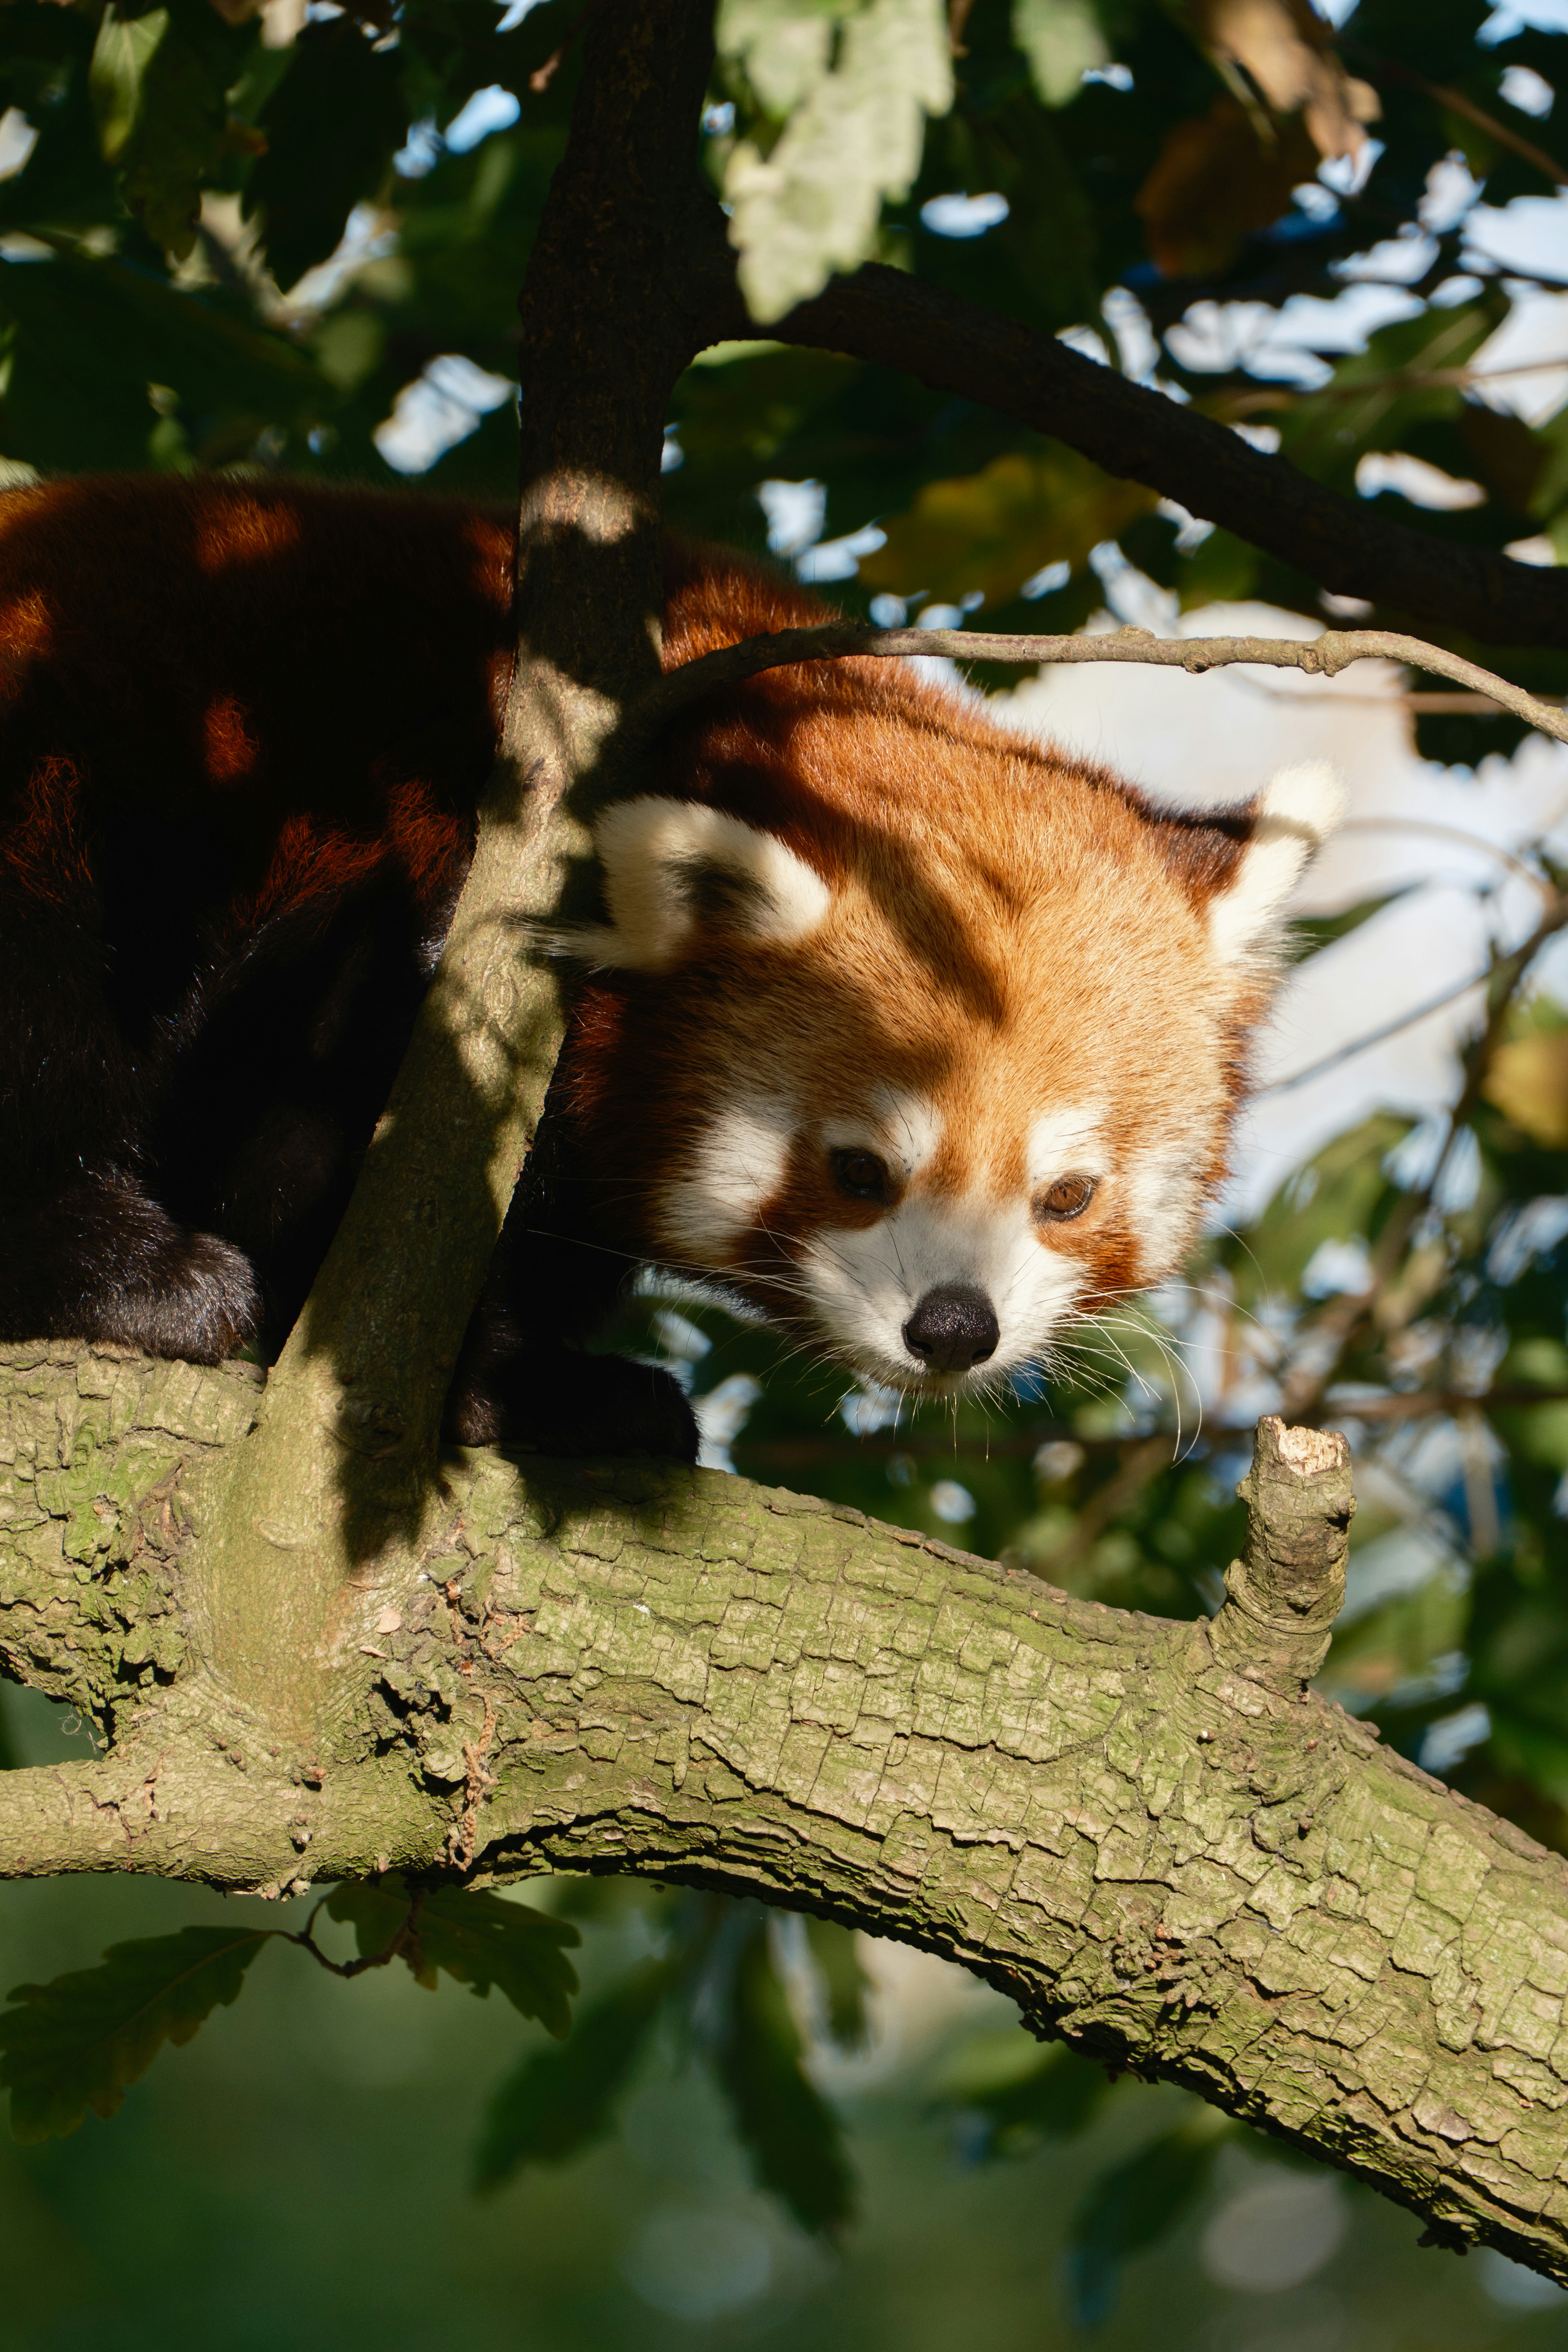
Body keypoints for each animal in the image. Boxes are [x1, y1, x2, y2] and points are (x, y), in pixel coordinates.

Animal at [0, 472, 1342, 1461]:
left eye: (1066, 1196)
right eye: (858, 1170)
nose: (955, 1327)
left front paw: (551, 1383)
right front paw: (479, 1379)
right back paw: (128, 1272)